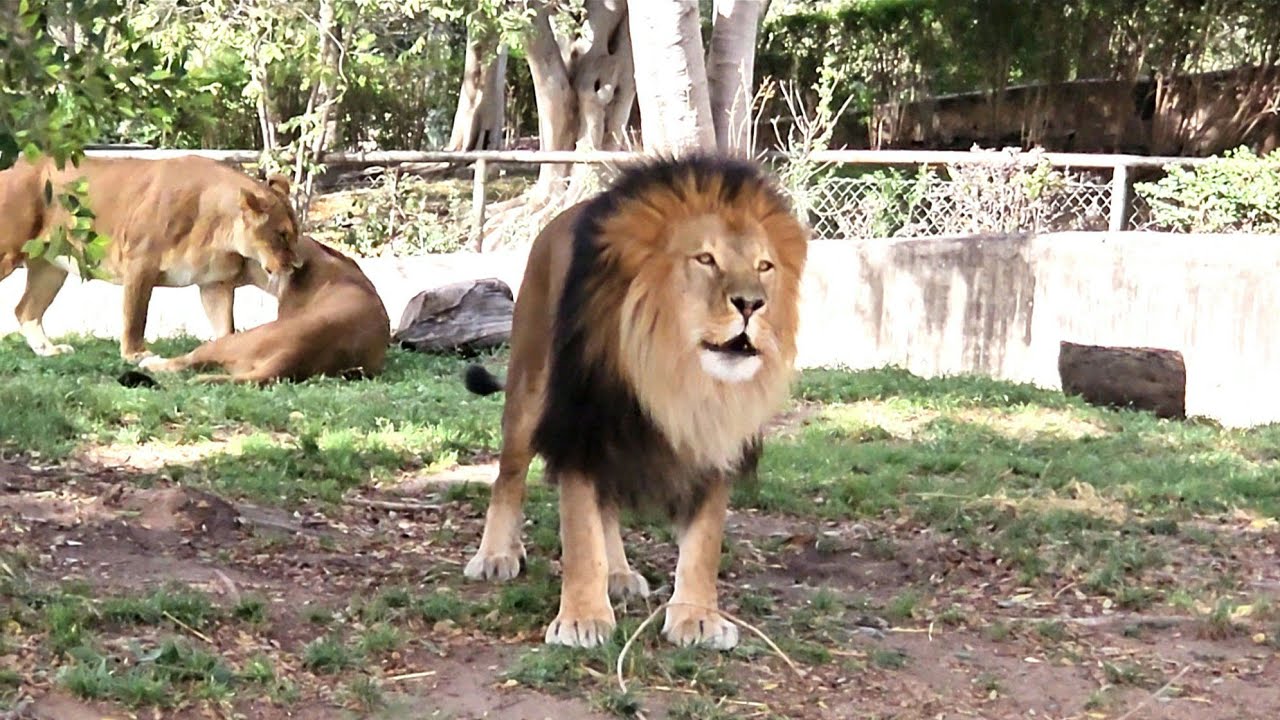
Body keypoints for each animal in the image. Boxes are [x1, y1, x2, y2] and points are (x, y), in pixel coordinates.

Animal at [0, 154, 301, 361]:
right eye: (282, 235)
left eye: (296, 233)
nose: (295, 265)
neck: (219, 230)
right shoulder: (140, 263)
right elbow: (135, 315)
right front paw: (136, 355)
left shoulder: (214, 284)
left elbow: (224, 325)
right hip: (9, 253)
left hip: (50, 267)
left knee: (25, 310)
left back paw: (48, 350)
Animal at [461, 155, 809, 649]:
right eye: (705, 259)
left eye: (765, 266)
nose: (751, 304)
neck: (675, 374)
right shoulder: (581, 422)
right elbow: (580, 530)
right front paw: (582, 619)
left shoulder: (716, 437)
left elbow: (704, 542)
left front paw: (697, 618)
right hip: (530, 390)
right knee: (508, 477)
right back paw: (494, 556)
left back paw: (619, 575)